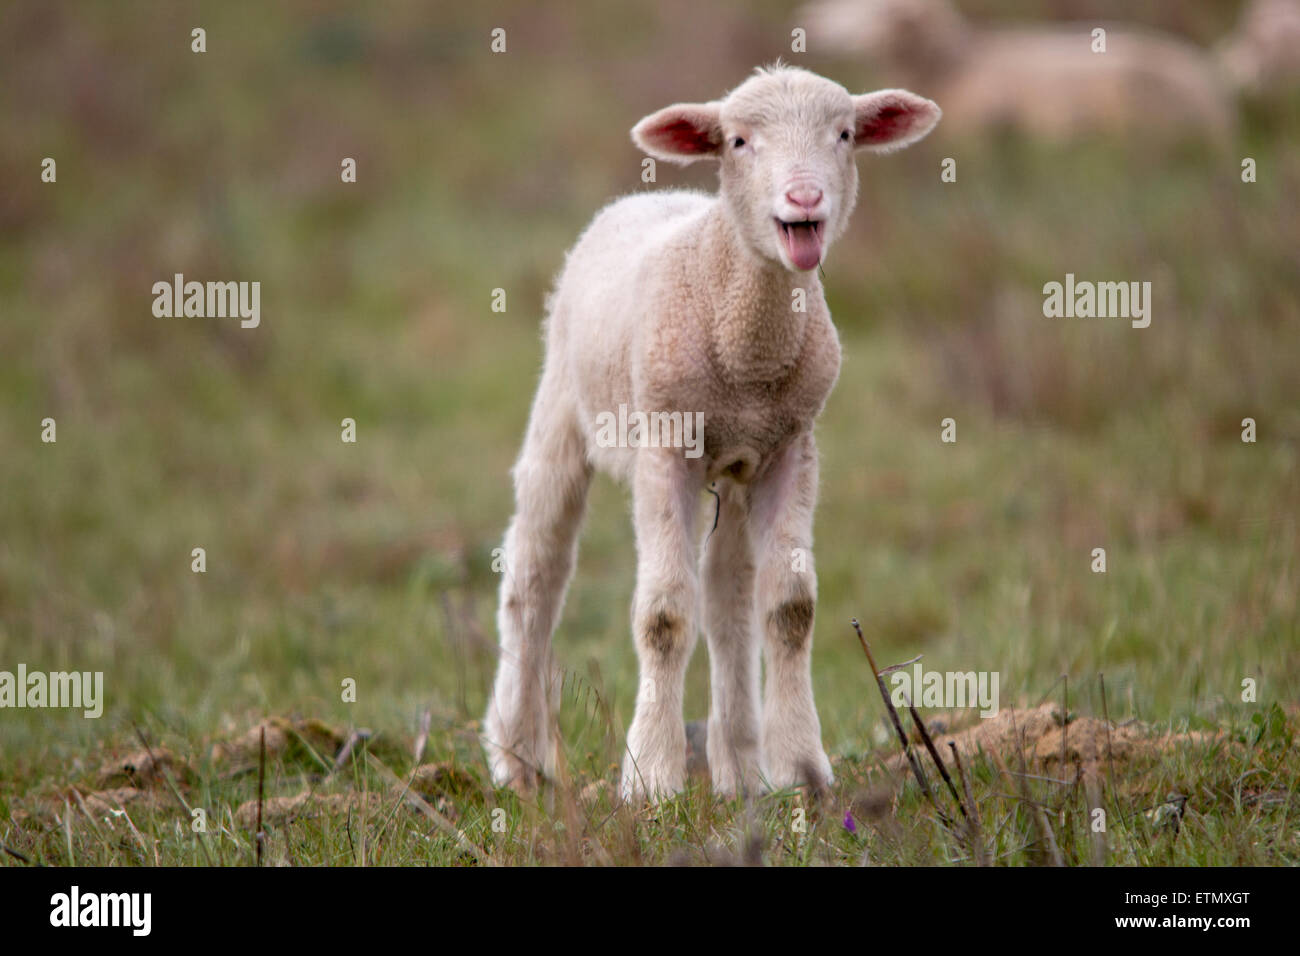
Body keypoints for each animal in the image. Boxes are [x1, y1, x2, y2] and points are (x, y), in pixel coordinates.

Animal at [481, 65, 940, 801]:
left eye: (845, 134)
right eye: (739, 141)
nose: (804, 197)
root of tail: (657, 194)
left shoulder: (789, 447)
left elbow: (787, 608)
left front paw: (802, 770)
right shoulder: (664, 446)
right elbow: (664, 614)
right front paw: (652, 777)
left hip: (731, 468)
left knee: (728, 592)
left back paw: (740, 767)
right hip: (562, 408)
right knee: (536, 572)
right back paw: (519, 759)